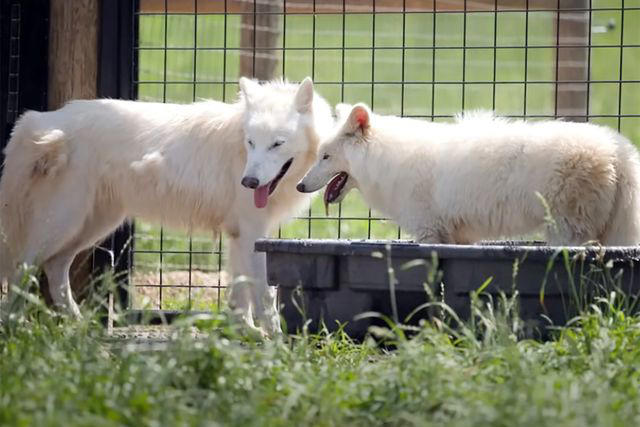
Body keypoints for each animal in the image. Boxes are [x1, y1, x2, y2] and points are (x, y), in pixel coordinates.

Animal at [0, 77, 333, 334]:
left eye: (277, 143)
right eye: (251, 142)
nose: (249, 182)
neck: (238, 150)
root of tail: (41, 119)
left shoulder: (240, 235)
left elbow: (241, 292)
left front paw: (246, 332)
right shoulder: (251, 234)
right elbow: (263, 294)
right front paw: (276, 339)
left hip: (91, 226)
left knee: (54, 268)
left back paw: (79, 325)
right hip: (66, 223)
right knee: (21, 267)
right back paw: (15, 325)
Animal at [297, 103, 640, 246]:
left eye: (325, 157)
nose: (300, 186)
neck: (386, 158)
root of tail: (618, 149)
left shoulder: (430, 232)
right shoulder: (460, 237)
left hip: (566, 234)